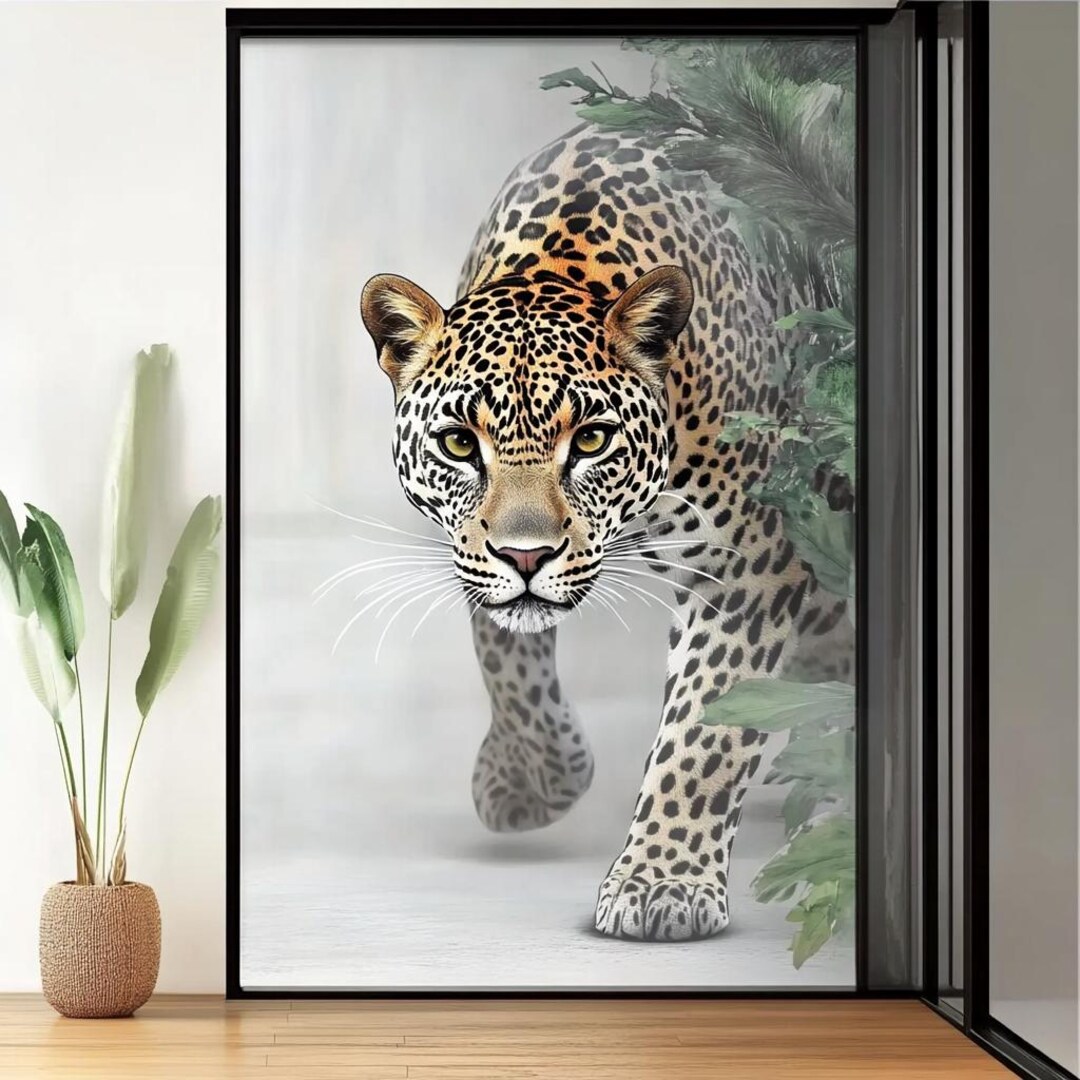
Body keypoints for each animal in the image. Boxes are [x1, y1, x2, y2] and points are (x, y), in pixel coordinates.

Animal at [360, 123, 852, 942]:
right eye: (460, 443)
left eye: (590, 439)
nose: (525, 555)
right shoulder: (467, 549)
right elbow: (506, 659)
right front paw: (535, 780)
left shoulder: (750, 562)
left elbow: (706, 732)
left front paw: (664, 880)